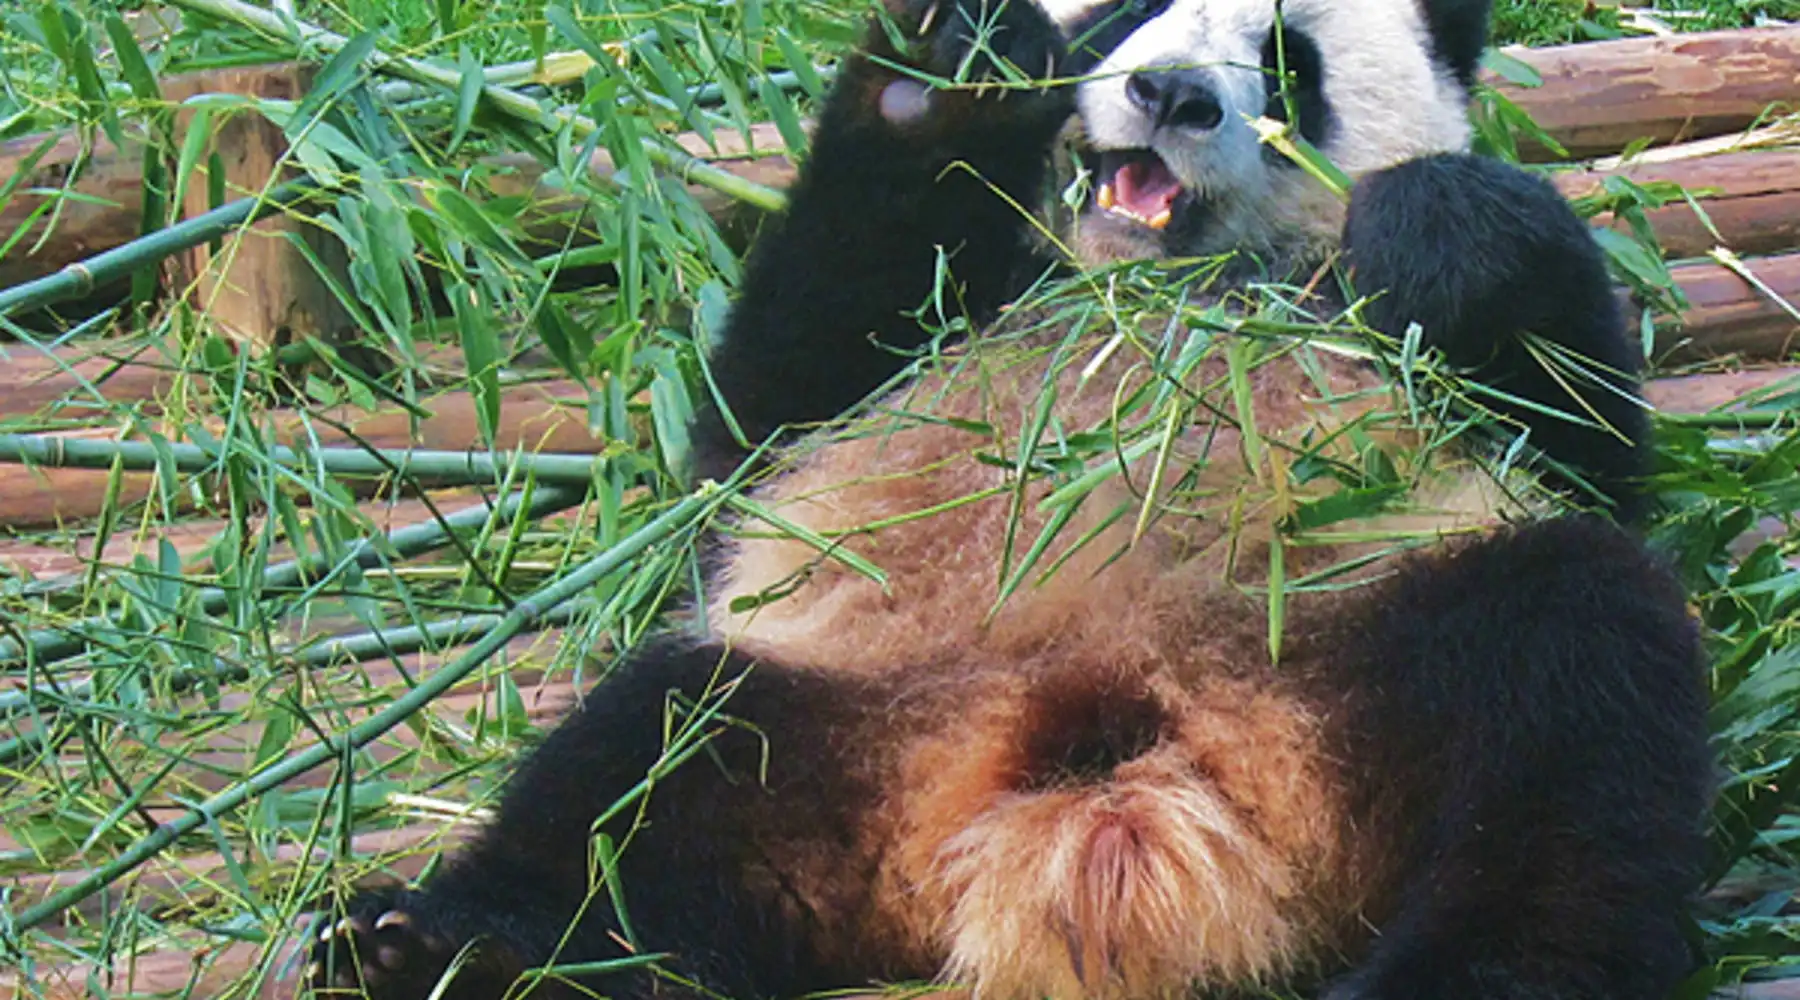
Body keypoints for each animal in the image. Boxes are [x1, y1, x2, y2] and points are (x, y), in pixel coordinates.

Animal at [309, 0, 1713, 999]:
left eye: (1287, 59)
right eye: (1132, 9)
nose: (1170, 94)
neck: (1136, 285)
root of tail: (1092, 798)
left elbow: (1588, 446)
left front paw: (1440, 224)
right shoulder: (923, 342)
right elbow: (761, 437)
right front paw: (939, 72)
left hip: (1375, 645)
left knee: (1573, 713)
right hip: (839, 703)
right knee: (641, 767)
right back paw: (459, 947)